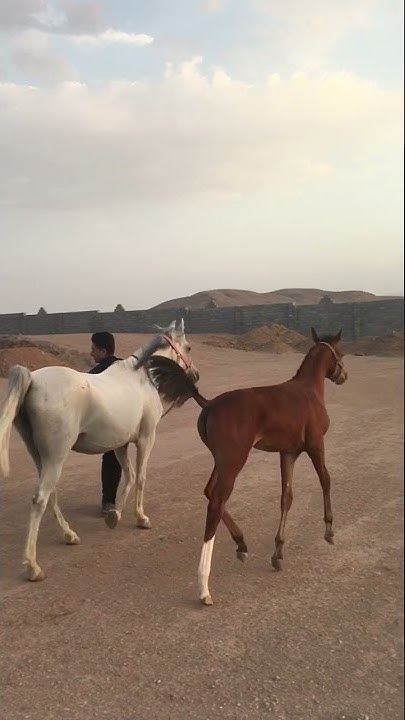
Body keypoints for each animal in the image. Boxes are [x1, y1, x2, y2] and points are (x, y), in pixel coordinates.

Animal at [0, 319, 198, 582]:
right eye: (188, 347)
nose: (195, 375)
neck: (140, 378)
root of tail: (32, 379)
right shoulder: (146, 439)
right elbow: (141, 477)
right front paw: (141, 518)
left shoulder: (120, 444)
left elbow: (128, 476)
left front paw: (115, 515)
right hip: (56, 456)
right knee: (40, 498)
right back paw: (33, 567)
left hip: (40, 456)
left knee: (51, 495)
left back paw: (69, 535)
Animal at [140, 327, 348, 605]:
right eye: (342, 353)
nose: (343, 375)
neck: (308, 392)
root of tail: (209, 404)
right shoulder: (316, 446)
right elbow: (326, 479)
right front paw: (329, 531)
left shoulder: (288, 453)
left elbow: (286, 497)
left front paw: (278, 552)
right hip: (234, 461)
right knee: (216, 502)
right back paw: (204, 587)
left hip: (222, 461)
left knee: (210, 493)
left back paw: (241, 544)